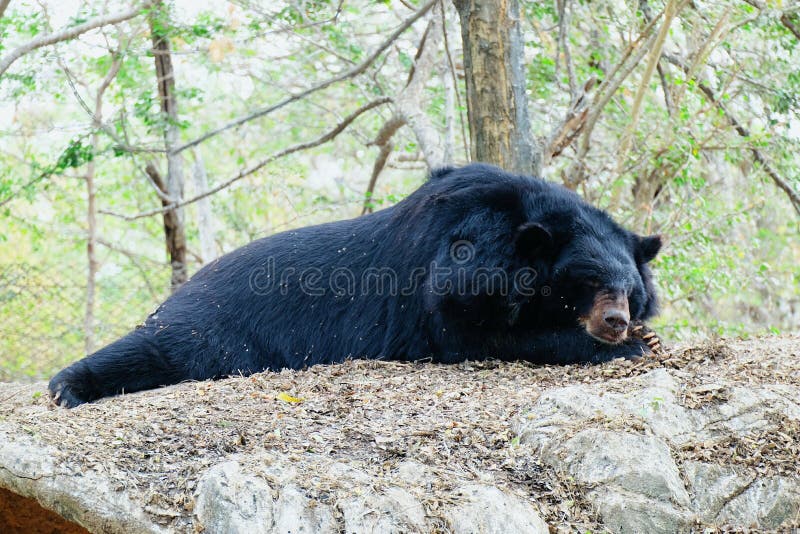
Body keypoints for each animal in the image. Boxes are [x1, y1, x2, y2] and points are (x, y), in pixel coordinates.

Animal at [49, 163, 662, 407]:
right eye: (587, 282)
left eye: (629, 290)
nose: (616, 323)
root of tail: (186, 284)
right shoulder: (457, 278)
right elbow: (487, 334)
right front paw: (633, 347)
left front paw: (644, 337)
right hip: (214, 326)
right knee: (158, 348)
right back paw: (66, 387)